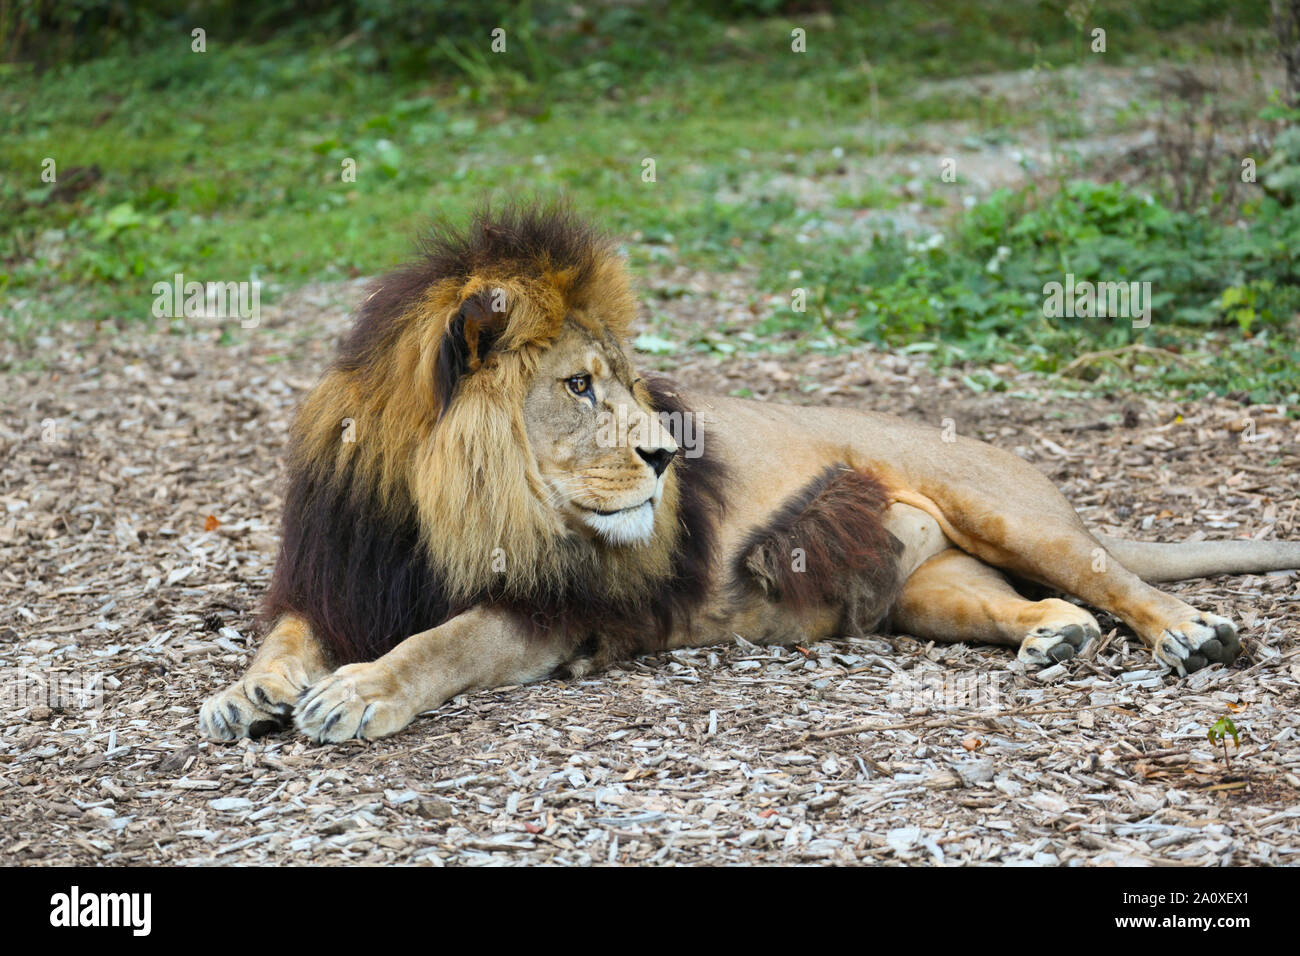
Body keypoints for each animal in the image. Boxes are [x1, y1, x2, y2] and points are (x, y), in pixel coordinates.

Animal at [200, 204, 1300, 743]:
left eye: (627, 382)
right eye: (578, 385)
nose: (661, 453)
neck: (434, 503)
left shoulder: (553, 605)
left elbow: (441, 643)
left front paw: (353, 694)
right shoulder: (337, 576)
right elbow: (284, 638)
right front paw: (245, 694)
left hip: (1011, 513)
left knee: (1116, 581)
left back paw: (1194, 635)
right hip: (929, 589)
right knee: (1048, 607)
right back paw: (1056, 640)